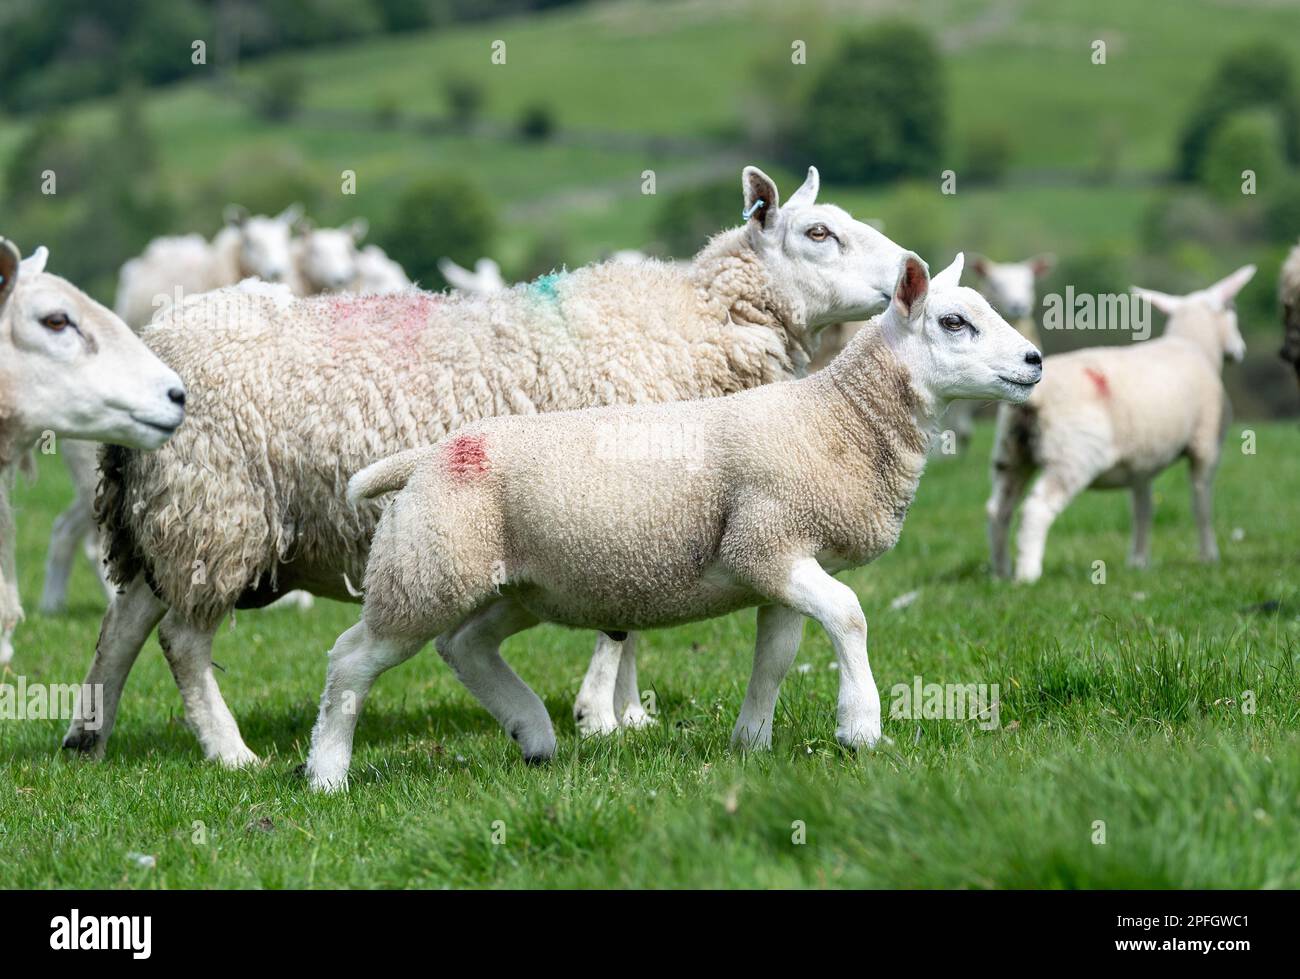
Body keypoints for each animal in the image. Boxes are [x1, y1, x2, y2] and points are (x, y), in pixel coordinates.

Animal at [64, 165, 912, 766]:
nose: (910, 266)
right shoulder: (624, 490)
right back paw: (229, 751)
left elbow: (631, 620)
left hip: (174, 509)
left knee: (123, 623)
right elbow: (618, 628)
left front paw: (628, 713)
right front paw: (602, 715)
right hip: (219, 508)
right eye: (820, 232)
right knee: (183, 641)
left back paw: (87, 735)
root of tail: (161, 333)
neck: (697, 323)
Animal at [303, 253, 1043, 791]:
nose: (1035, 360)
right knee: (351, 660)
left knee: (466, 646)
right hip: (426, 569)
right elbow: (850, 614)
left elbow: (776, 657)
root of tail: (429, 455)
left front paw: (751, 742)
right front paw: (859, 726)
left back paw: (532, 734)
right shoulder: (763, 545)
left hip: (517, 582)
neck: (838, 420)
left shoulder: (783, 560)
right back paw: (327, 774)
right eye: (954, 321)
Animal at [986, 265, 1255, 584]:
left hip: (1011, 451)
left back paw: (1000, 572)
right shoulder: (1205, 445)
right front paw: (1208, 556)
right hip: (1073, 455)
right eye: (1232, 309)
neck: (1195, 344)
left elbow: (1142, 508)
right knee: (1036, 509)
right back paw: (1027, 575)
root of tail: (1035, 398)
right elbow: (1201, 501)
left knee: (998, 510)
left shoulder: (1142, 460)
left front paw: (1138, 561)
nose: (1240, 351)